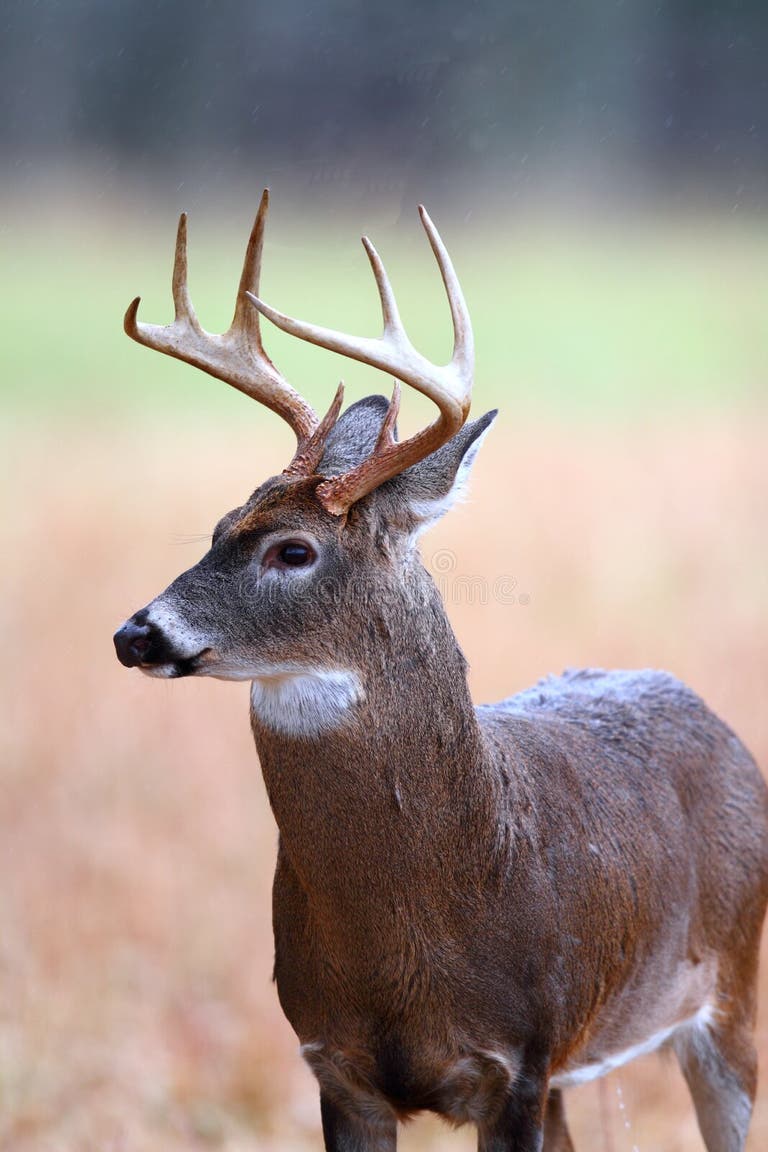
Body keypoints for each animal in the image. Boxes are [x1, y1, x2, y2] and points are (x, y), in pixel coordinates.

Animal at [114, 190, 768, 1152]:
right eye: (221, 525)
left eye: (292, 549)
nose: (137, 634)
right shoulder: (333, 1060)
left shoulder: (521, 1057)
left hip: (729, 991)